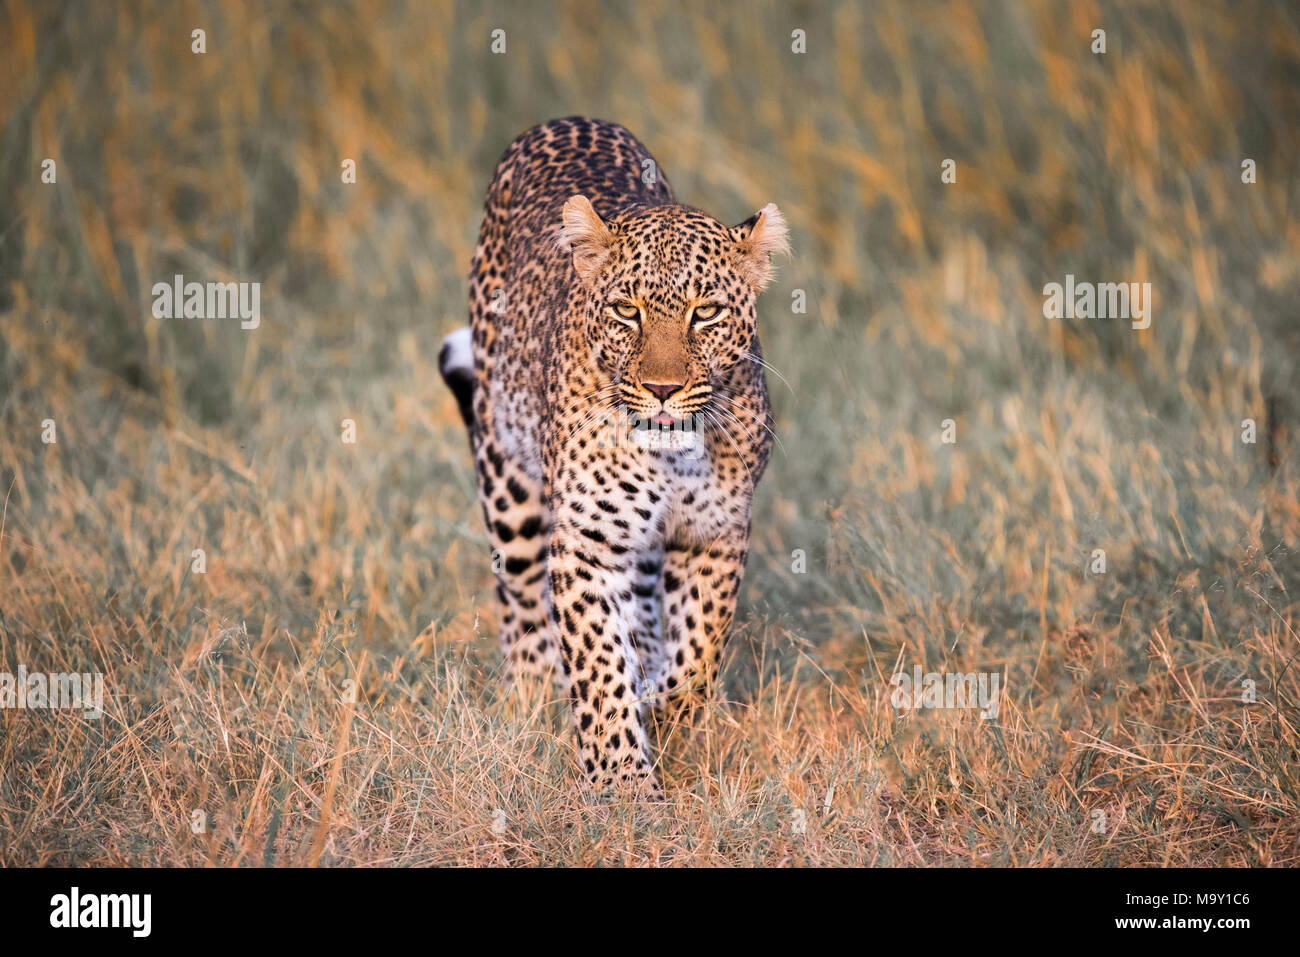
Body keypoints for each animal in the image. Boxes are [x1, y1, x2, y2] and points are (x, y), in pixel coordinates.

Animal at [439, 116, 788, 796]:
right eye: (627, 311)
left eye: (706, 313)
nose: (662, 388)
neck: (674, 458)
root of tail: (566, 118)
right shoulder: (587, 541)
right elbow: (598, 666)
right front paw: (622, 784)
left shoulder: (716, 532)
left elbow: (698, 651)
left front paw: (668, 718)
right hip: (507, 476)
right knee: (522, 602)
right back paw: (530, 698)